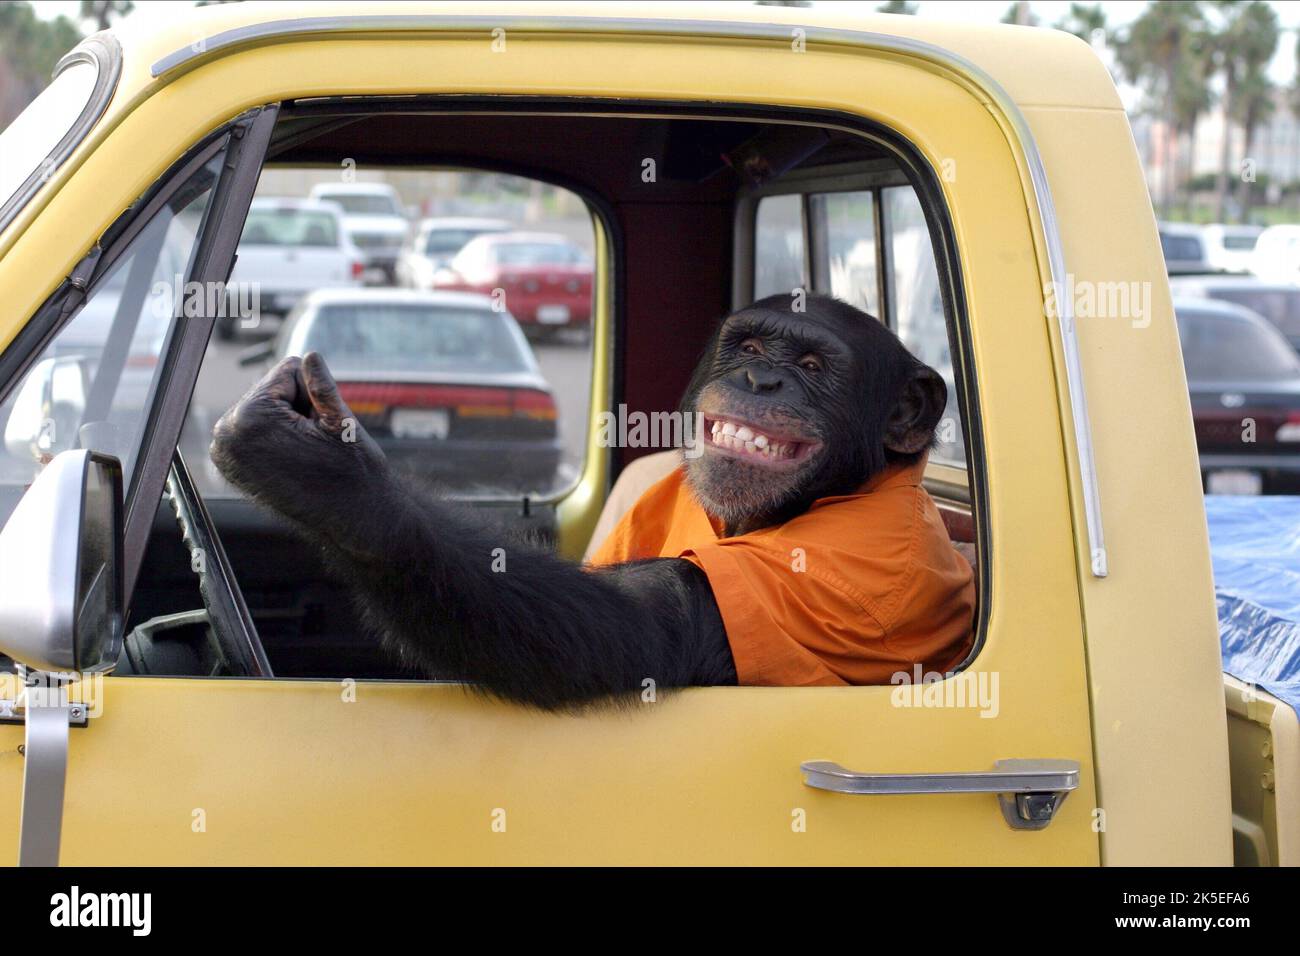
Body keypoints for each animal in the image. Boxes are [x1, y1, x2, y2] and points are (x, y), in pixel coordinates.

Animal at [210, 293, 975, 710]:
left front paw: (331, 476)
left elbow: (628, 627)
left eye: (813, 366)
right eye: (753, 348)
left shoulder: (829, 584)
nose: (762, 382)